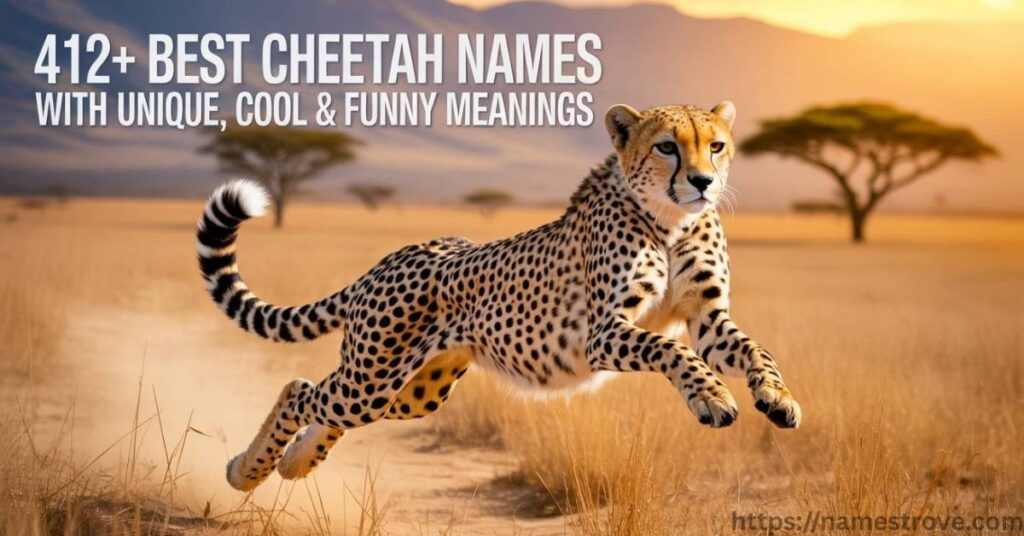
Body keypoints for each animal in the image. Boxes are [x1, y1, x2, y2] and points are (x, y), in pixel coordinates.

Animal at [195, 101, 802, 491]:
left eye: (716, 146)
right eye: (667, 147)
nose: (703, 181)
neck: (671, 221)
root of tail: (395, 257)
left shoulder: (706, 317)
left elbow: (756, 350)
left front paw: (777, 396)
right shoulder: (604, 333)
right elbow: (673, 350)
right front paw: (712, 397)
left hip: (414, 390)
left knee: (318, 398)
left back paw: (292, 465)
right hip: (373, 378)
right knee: (303, 392)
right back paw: (245, 472)